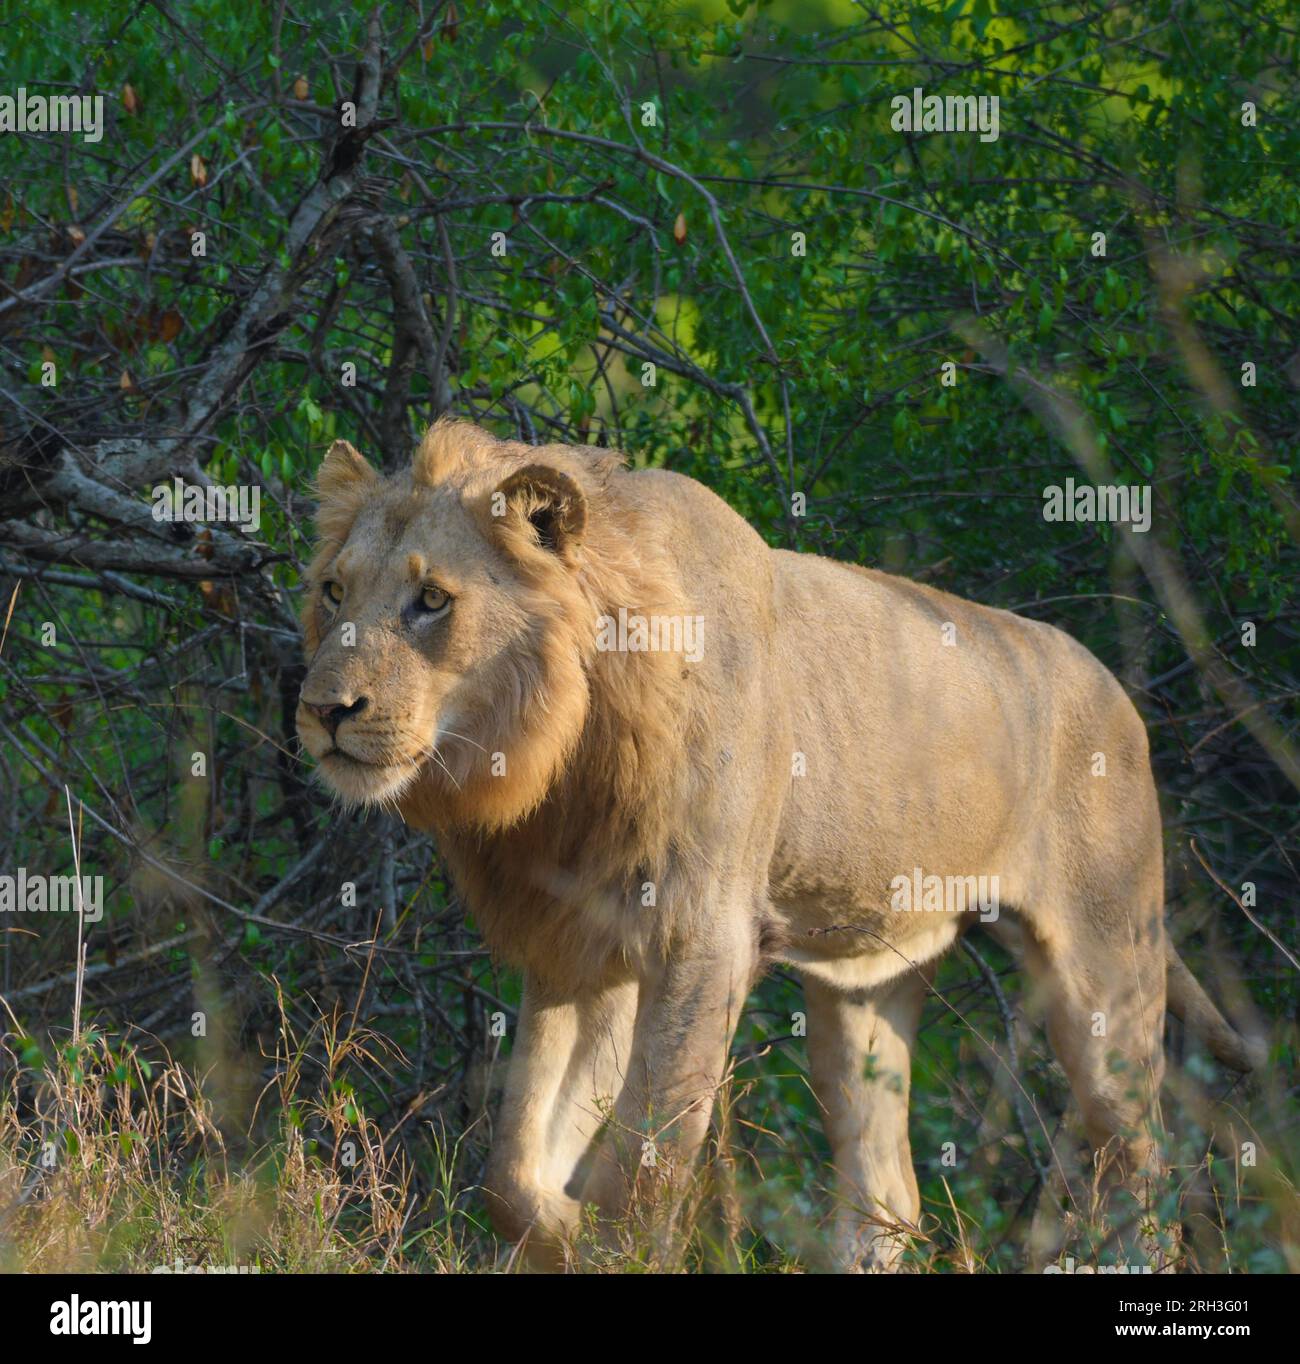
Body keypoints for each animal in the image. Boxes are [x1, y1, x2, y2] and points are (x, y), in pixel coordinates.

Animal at [296, 418, 1261, 1270]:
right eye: (334, 592)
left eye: (432, 600)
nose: (323, 709)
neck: (559, 757)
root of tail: (1114, 687)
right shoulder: (580, 951)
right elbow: (513, 1170)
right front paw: (563, 1231)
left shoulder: (700, 938)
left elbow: (644, 1159)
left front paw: (610, 1242)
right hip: (866, 993)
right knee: (886, 1198)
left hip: (1106, 975)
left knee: (1141, 1175)